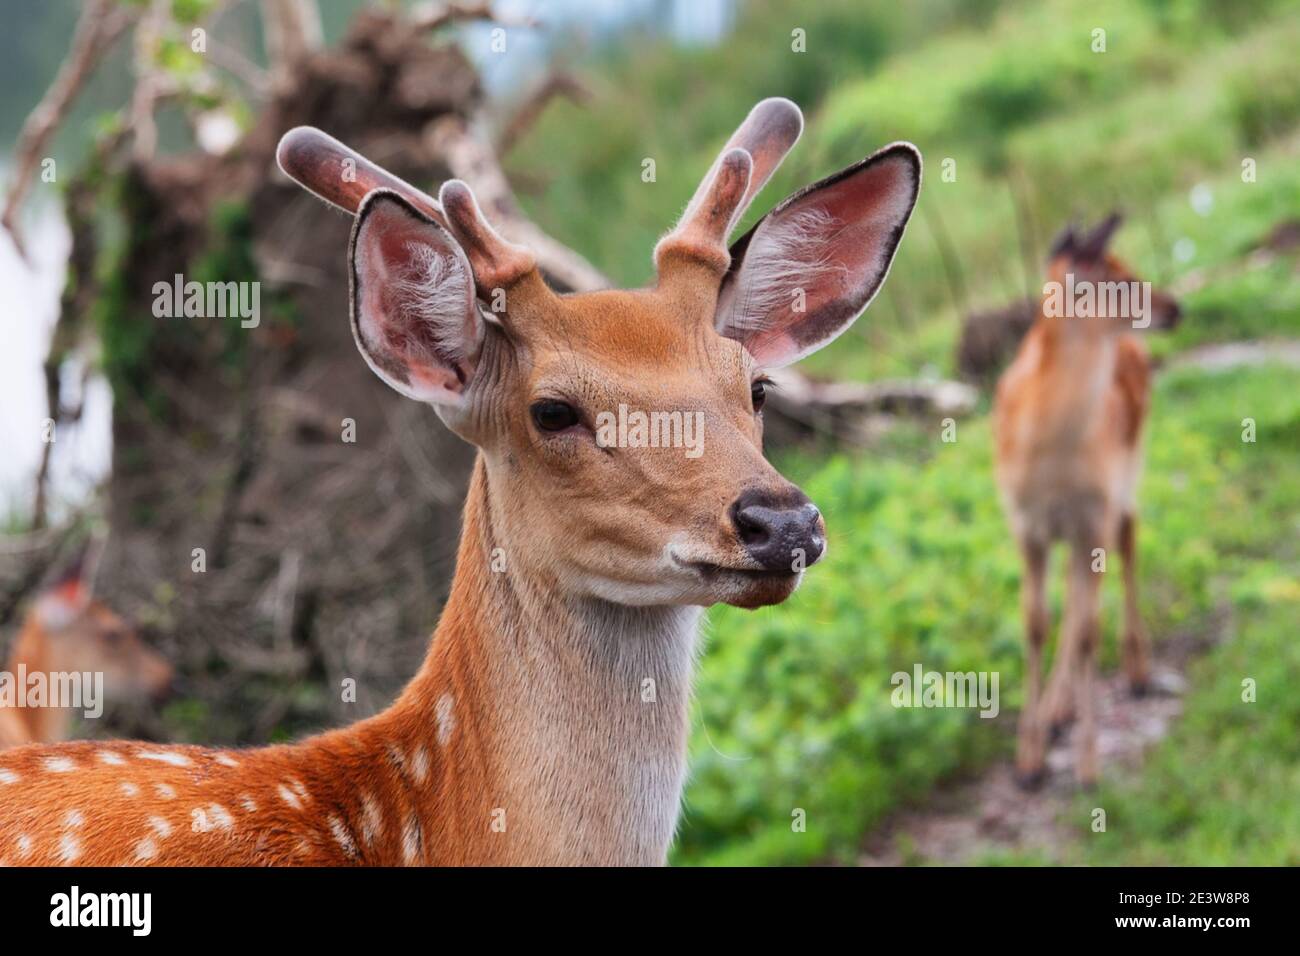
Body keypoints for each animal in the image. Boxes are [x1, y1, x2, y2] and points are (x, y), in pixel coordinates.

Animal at [994, 214, 1181, 788]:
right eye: (1113, 276)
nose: (1175, 308)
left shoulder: (1093, 514)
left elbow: (1088, 630)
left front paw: (1089, 767)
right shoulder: (1025, 521)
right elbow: (1036, 622)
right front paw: (1029, 760)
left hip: (1128, 470)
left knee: (1128, 539)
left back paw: (1137, 670)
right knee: (1073, 601)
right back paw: (1059, 710)